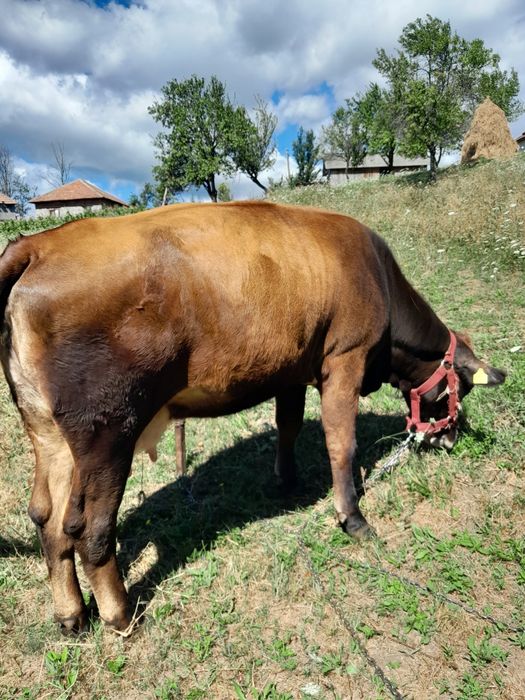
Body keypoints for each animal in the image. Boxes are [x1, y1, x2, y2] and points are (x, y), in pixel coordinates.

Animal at [0, 201, 504, 634]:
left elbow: (289, 425)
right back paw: (121, 615)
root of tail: (41, 244)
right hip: (109, 429)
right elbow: (342, 443)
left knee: (46, 517)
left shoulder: (292, 368)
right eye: (460, 391)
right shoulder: (345, 358)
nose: (449, 439)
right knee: (89, 527)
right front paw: (353, 516)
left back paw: (71, 614)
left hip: (48, 430)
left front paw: (287, 480)